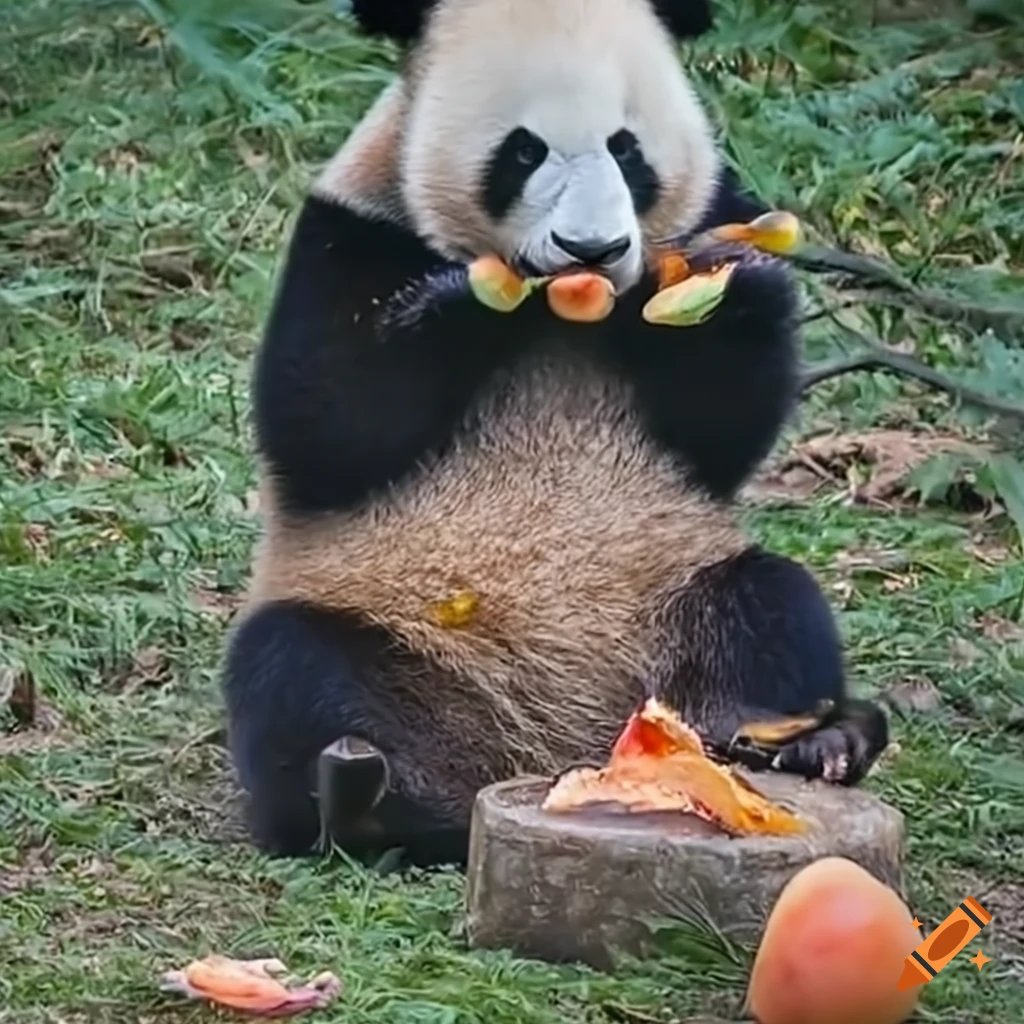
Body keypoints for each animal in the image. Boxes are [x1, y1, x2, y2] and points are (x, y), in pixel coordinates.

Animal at [222, 0, 889, 867]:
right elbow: (324, 425)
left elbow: (722, 432)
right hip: (392, 625)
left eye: (626, 148)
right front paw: (461, 303)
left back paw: (804, 739)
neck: (565, 313)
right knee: (293, 666)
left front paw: (735, 287)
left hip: (669, 600)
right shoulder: (352, 227)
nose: (592, 249)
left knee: (770, 606)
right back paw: (364, 792)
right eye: (524, 150)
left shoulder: (712, 210)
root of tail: (552, 748)